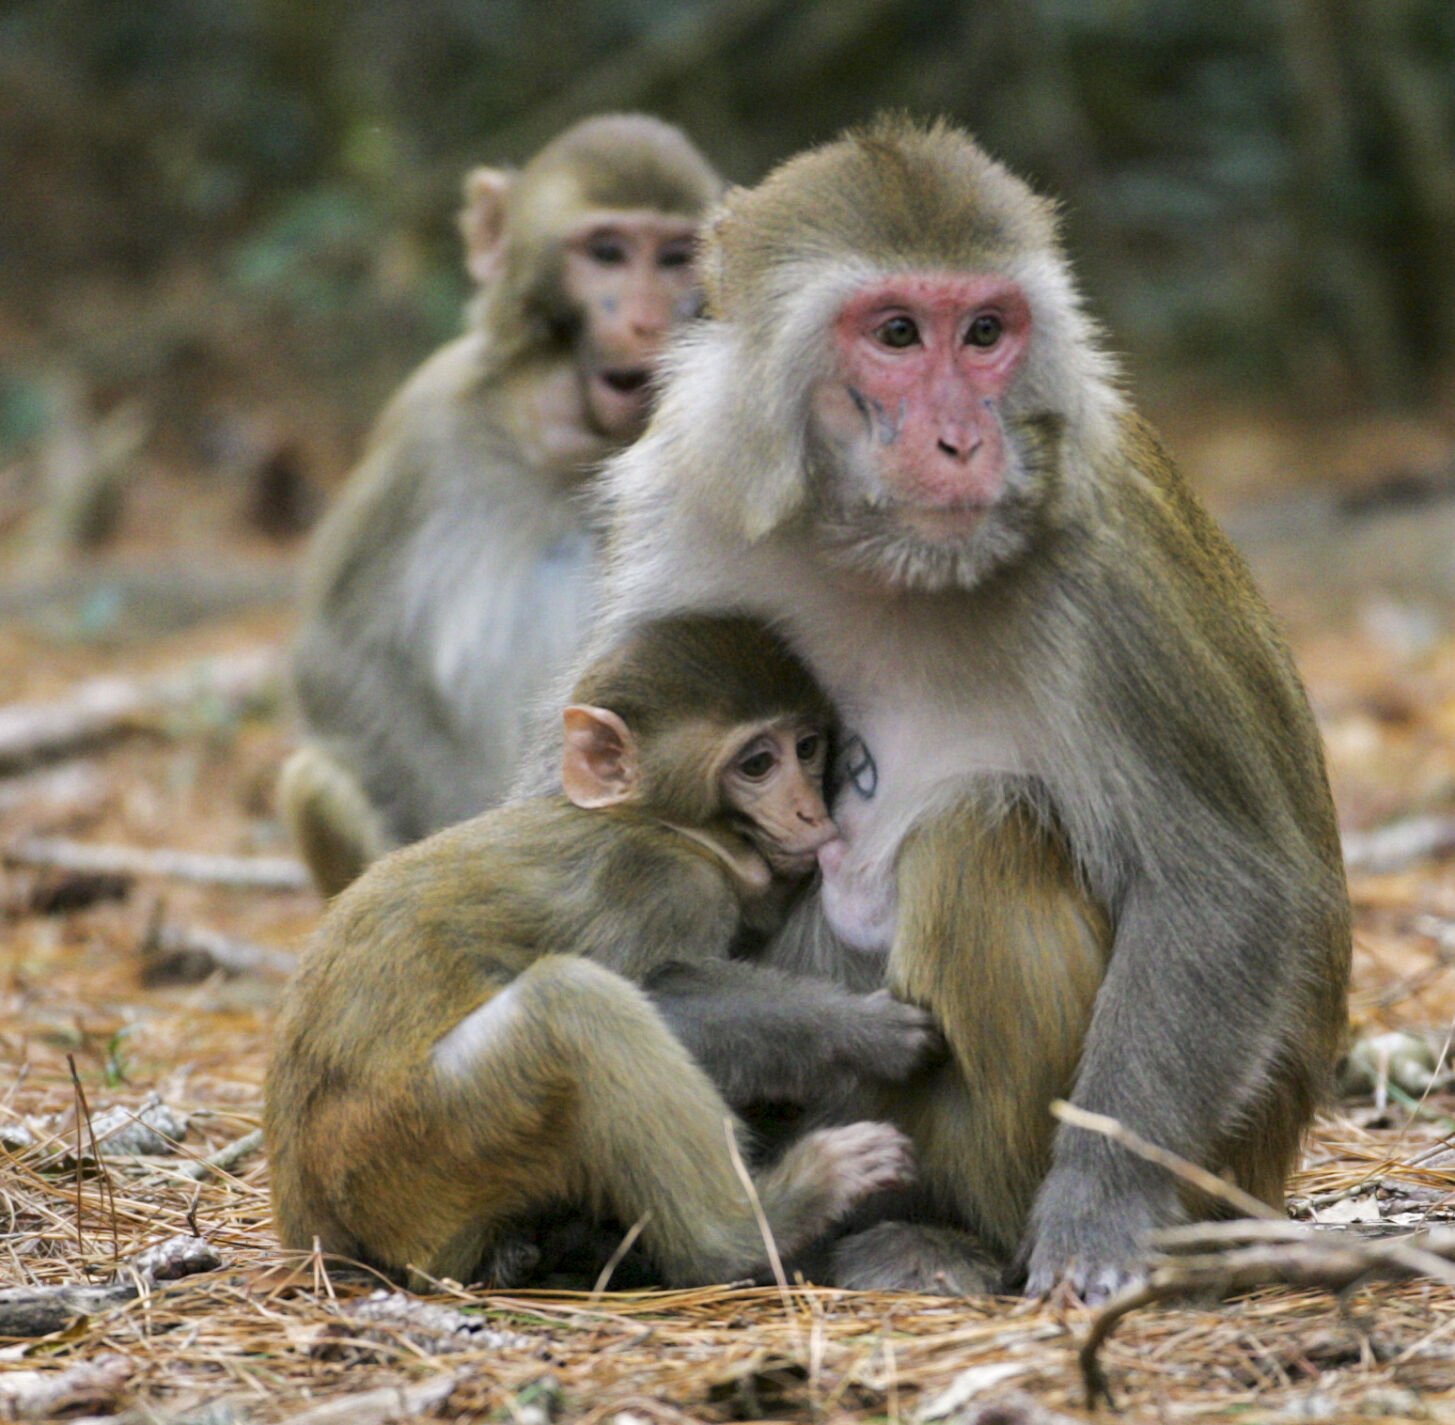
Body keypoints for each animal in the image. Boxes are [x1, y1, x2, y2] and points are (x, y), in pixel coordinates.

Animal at [266, 613, 944, 1290]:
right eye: (756, 764)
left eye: (806, 748)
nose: (810, 811)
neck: (668, 828)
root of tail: (311, 1231)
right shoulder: (657, 884)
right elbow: (650, 990)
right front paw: (856, 1029)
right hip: (406, 1150)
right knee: (572, 1002)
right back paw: (756, 1228)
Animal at [278, 114, 722, 896]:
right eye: (607, 252)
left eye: (673, 257)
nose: (646, 321)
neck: (574, 452)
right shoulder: (423, 423)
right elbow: (344, 653)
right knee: (318, 778)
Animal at [564, 115, 1352, 1302]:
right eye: (896, 333)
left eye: (984, 332)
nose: (961, 441)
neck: (882, 556)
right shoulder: (677, 511)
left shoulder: (1106, 567)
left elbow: (1222, 885)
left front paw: (1098, 1207)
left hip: (1213, 1176)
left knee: (983, 834)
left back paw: (945, 1235)